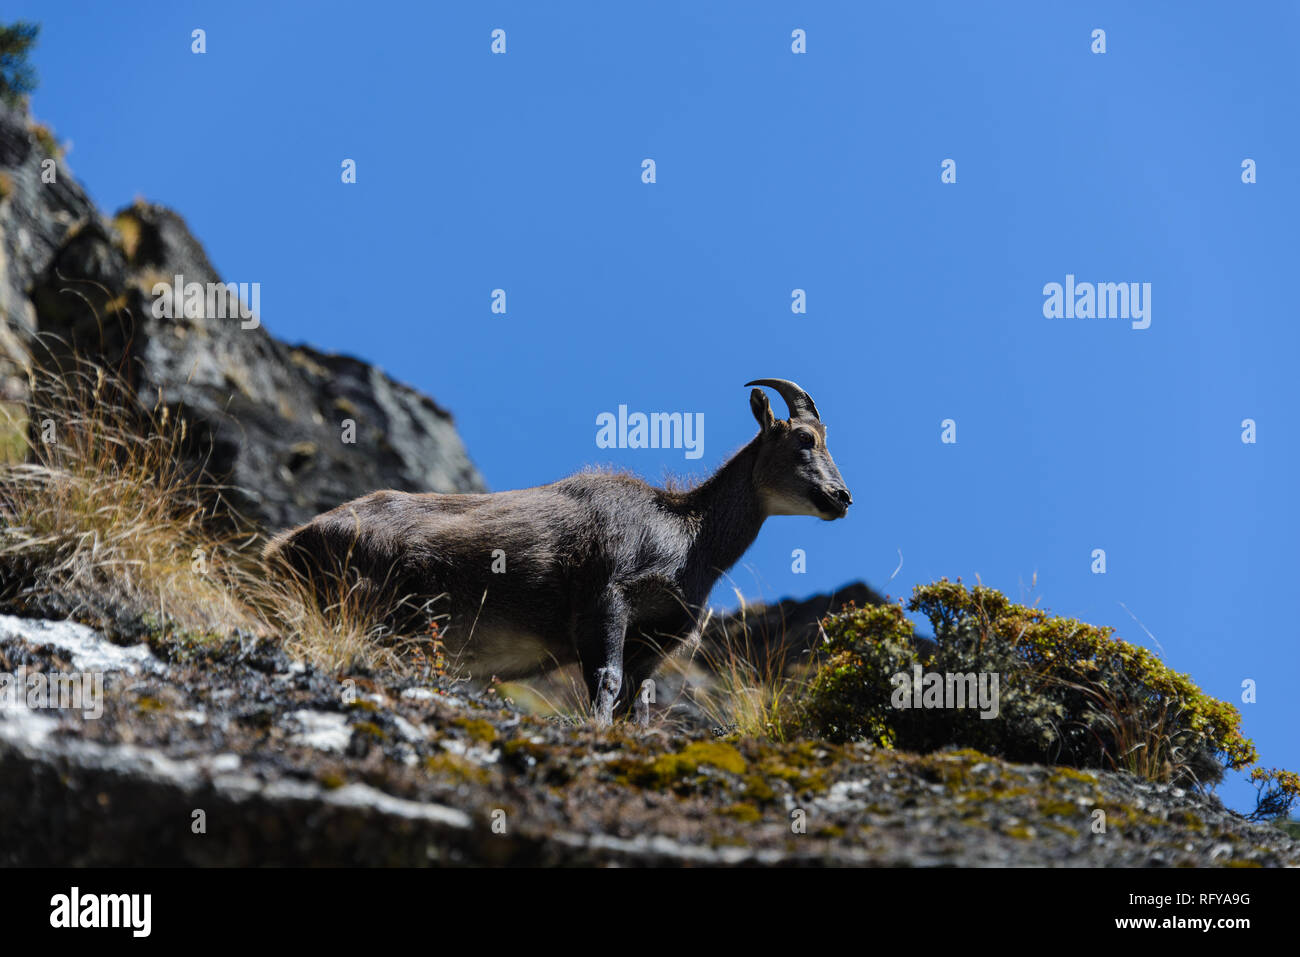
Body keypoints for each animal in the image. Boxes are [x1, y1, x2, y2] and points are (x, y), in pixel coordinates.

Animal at [263, 378, 852, 725]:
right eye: (804, 439)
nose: (842, 497)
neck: (684, 534)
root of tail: (285, 545)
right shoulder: (607, 599)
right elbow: (606, 682)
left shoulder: (656, 638)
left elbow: (636, 699)